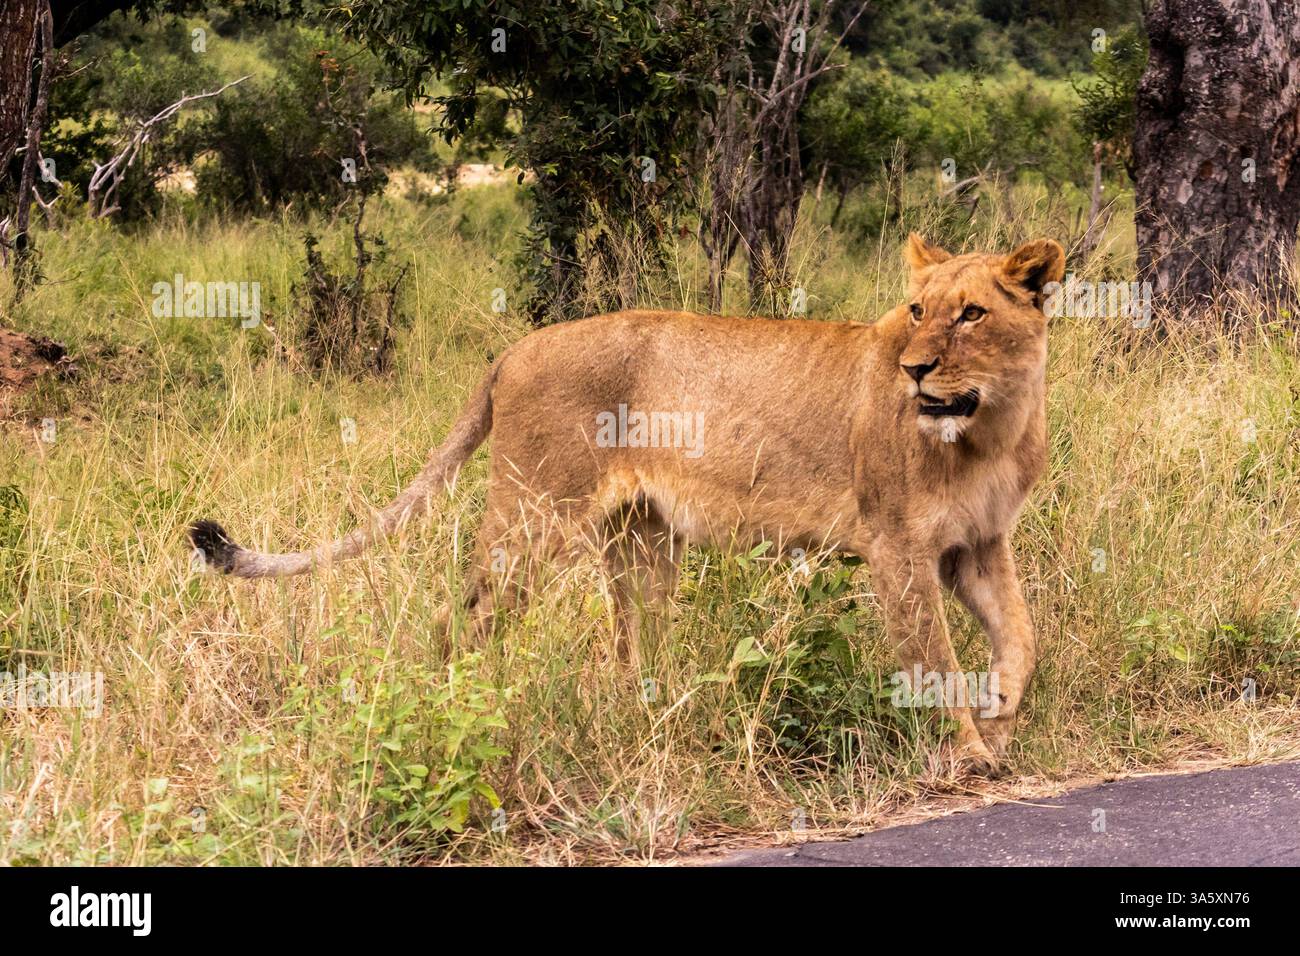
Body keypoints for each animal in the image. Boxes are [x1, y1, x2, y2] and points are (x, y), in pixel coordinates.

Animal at [190, 233, 1065, 772]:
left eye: (972, 313)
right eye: (918, 311)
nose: (914, 369)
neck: (989, 425)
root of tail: (512, 350)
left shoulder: (976, 545)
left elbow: (1023, 637)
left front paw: (1001, 715)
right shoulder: (897, 545)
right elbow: (934, 657)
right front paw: (966, 752)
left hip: (640, 540)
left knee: (626, 642)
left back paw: (644, 717)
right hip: (533, 515)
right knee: (461, 616)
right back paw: (464, 714)